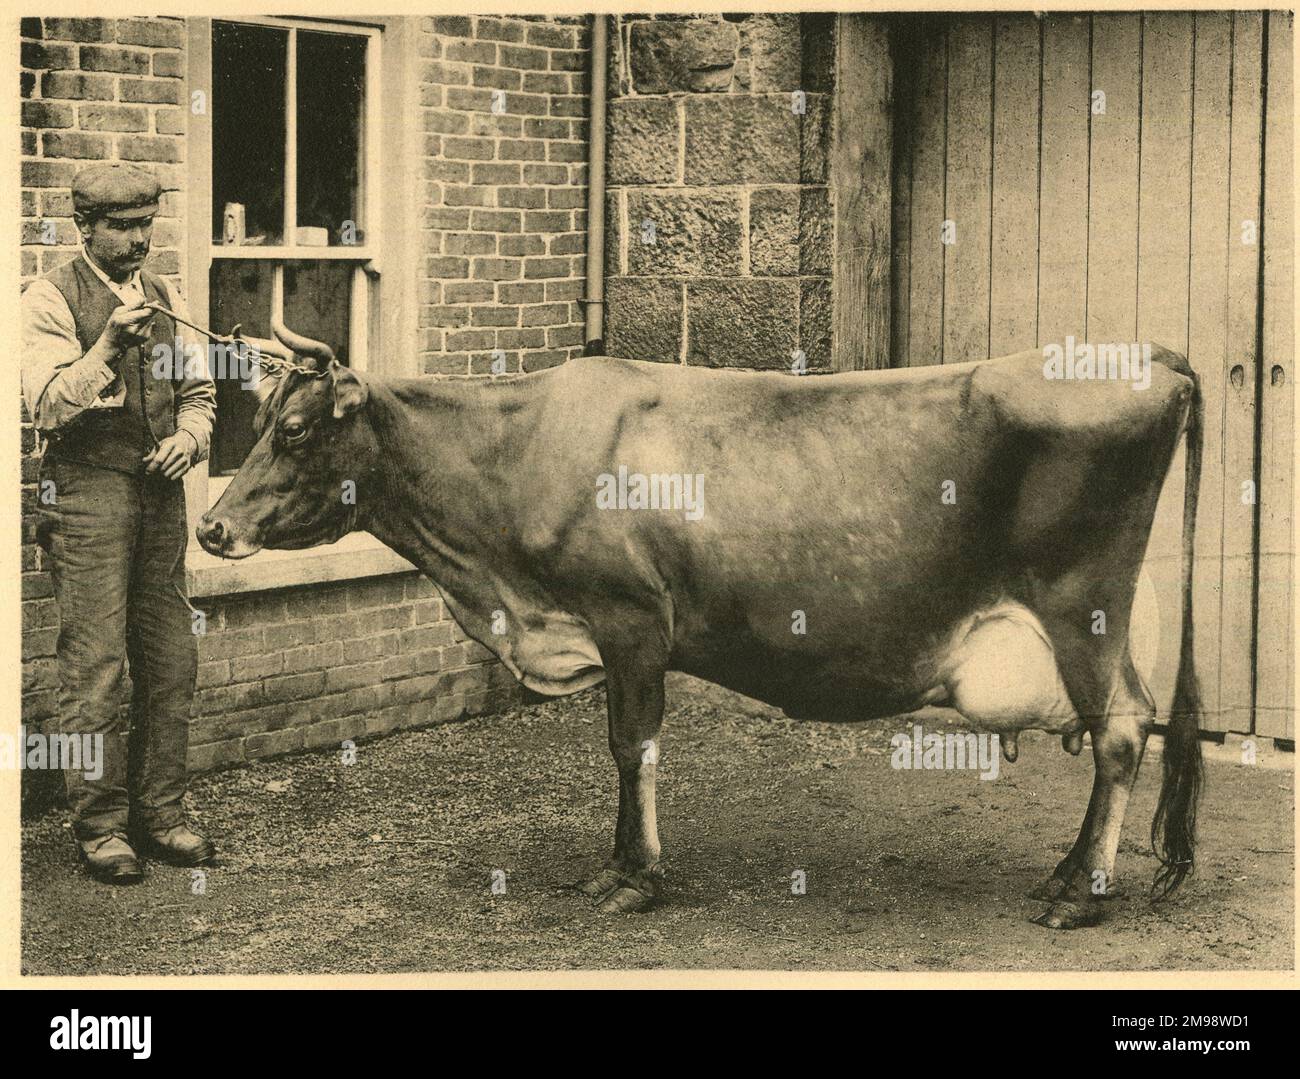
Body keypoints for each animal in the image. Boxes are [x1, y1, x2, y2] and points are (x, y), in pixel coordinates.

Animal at [198, 320, 1205, 930]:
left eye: (294, 429)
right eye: (262, 417)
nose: (210, 527)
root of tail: (1156, 354)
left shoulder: (631, 616)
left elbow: (630, 743)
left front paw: (633, 875)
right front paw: (618, 864)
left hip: (1082, 603)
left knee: (1120, 729)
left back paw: (1081, 892)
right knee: (1131, 718)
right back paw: (1068, 874)